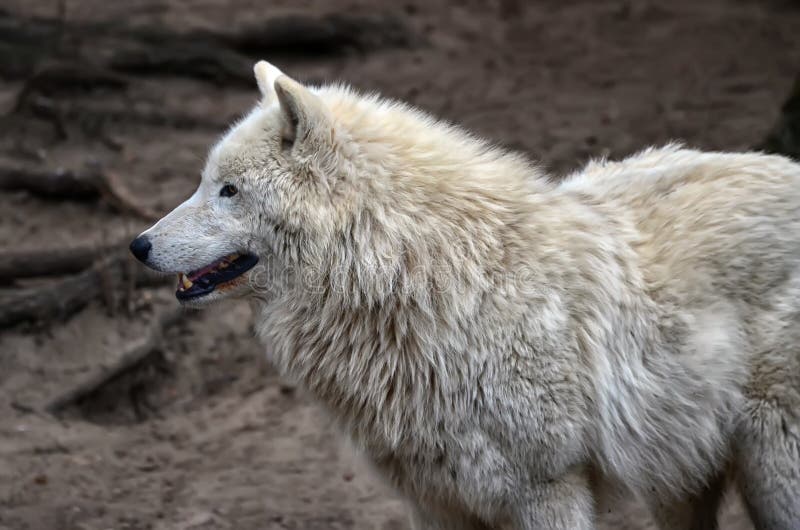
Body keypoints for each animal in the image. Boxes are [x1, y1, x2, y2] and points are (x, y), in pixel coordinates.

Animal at [130, 60, 800, 529]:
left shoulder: (548, 490)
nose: (138, 246)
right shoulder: (434, 501)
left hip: (772, 471)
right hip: (681, 476)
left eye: (229, 191)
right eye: (204, 183)